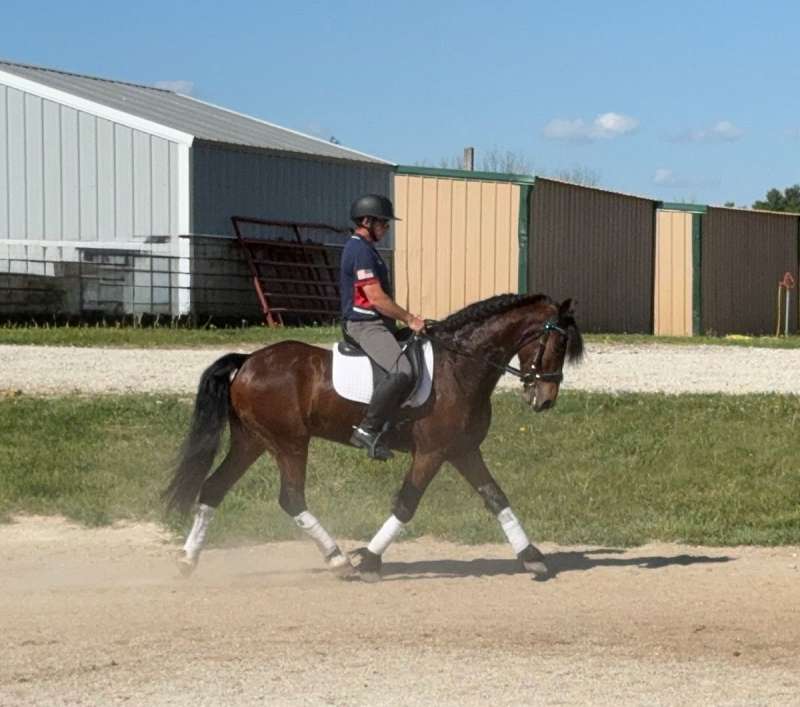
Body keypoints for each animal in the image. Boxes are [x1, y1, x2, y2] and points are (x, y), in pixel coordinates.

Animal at [164, 293, 584, 581]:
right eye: (557, 344)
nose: (545, 400)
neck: (458, 366)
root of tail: (248, 361)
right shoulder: (431, 452)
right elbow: (407, 504)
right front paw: (368, 559)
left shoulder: (463, 450)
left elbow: (496, 497)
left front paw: (532, 557)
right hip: (289, 443)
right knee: (291, 498)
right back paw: (338, 560)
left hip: (251, 441)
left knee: (214, 488)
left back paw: (188, 559)